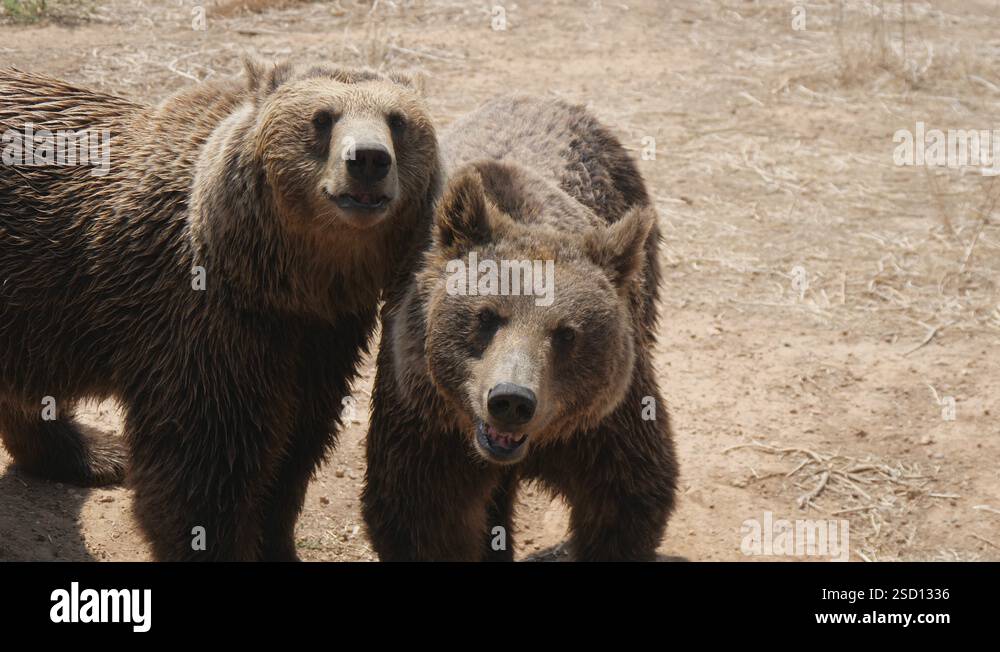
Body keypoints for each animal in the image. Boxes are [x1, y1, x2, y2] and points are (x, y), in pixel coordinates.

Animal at [0, 60, 442, 561]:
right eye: (322, 118)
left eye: (397, 121)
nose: (368, 159)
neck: (289, 282)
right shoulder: (206, 325)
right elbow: (204, 471)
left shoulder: (324, 337)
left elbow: (294, 450)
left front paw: (278, 542)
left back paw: (92, 454)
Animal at [361, 95, 678, 561]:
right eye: (486, 316)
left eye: (566, 333)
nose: (511, 400)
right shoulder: (425, 422)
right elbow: (421, 515)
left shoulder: (603, 424)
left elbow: (628, 496)